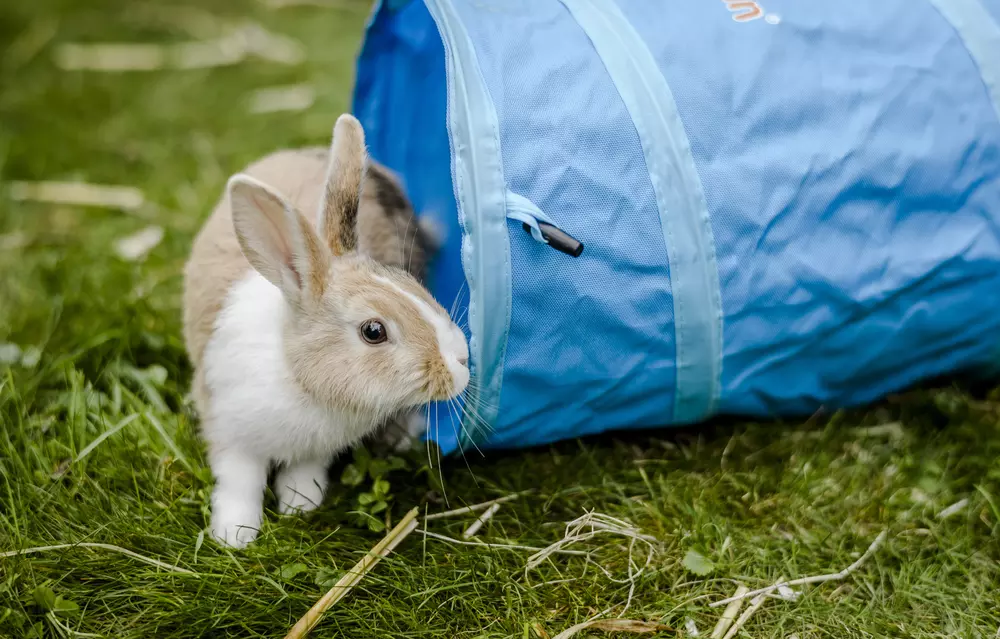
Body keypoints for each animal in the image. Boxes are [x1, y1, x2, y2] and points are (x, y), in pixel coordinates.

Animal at [182, 114, 469, 548]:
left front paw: (299, 506)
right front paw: (234, 535)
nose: (462, 361)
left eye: (410, 283)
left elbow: (302, 474)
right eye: (373, 331)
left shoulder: (314, 450)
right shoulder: (229, 433)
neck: (299, 376)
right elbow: (239, 484)